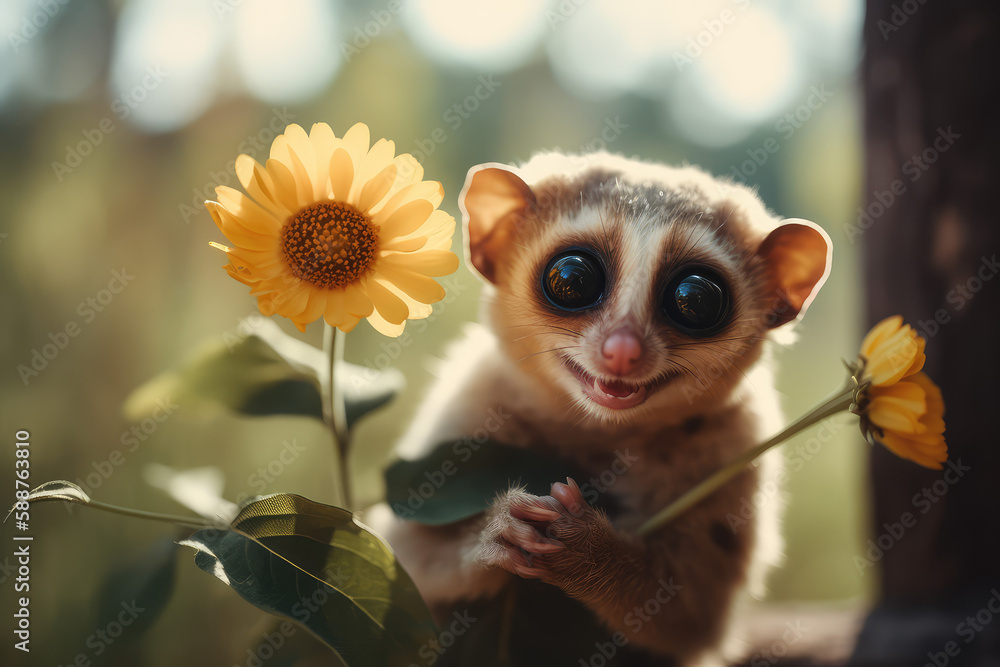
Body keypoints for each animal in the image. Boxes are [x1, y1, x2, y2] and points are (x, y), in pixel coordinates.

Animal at [364, 151, 831, 666]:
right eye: (572, 280)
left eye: (696, 299)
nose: (622, 350)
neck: (598, 431)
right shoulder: (471, 404)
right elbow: (405, 557)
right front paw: (498, 534)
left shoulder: (733, 452)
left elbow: (694, 615)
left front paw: (582, 546)